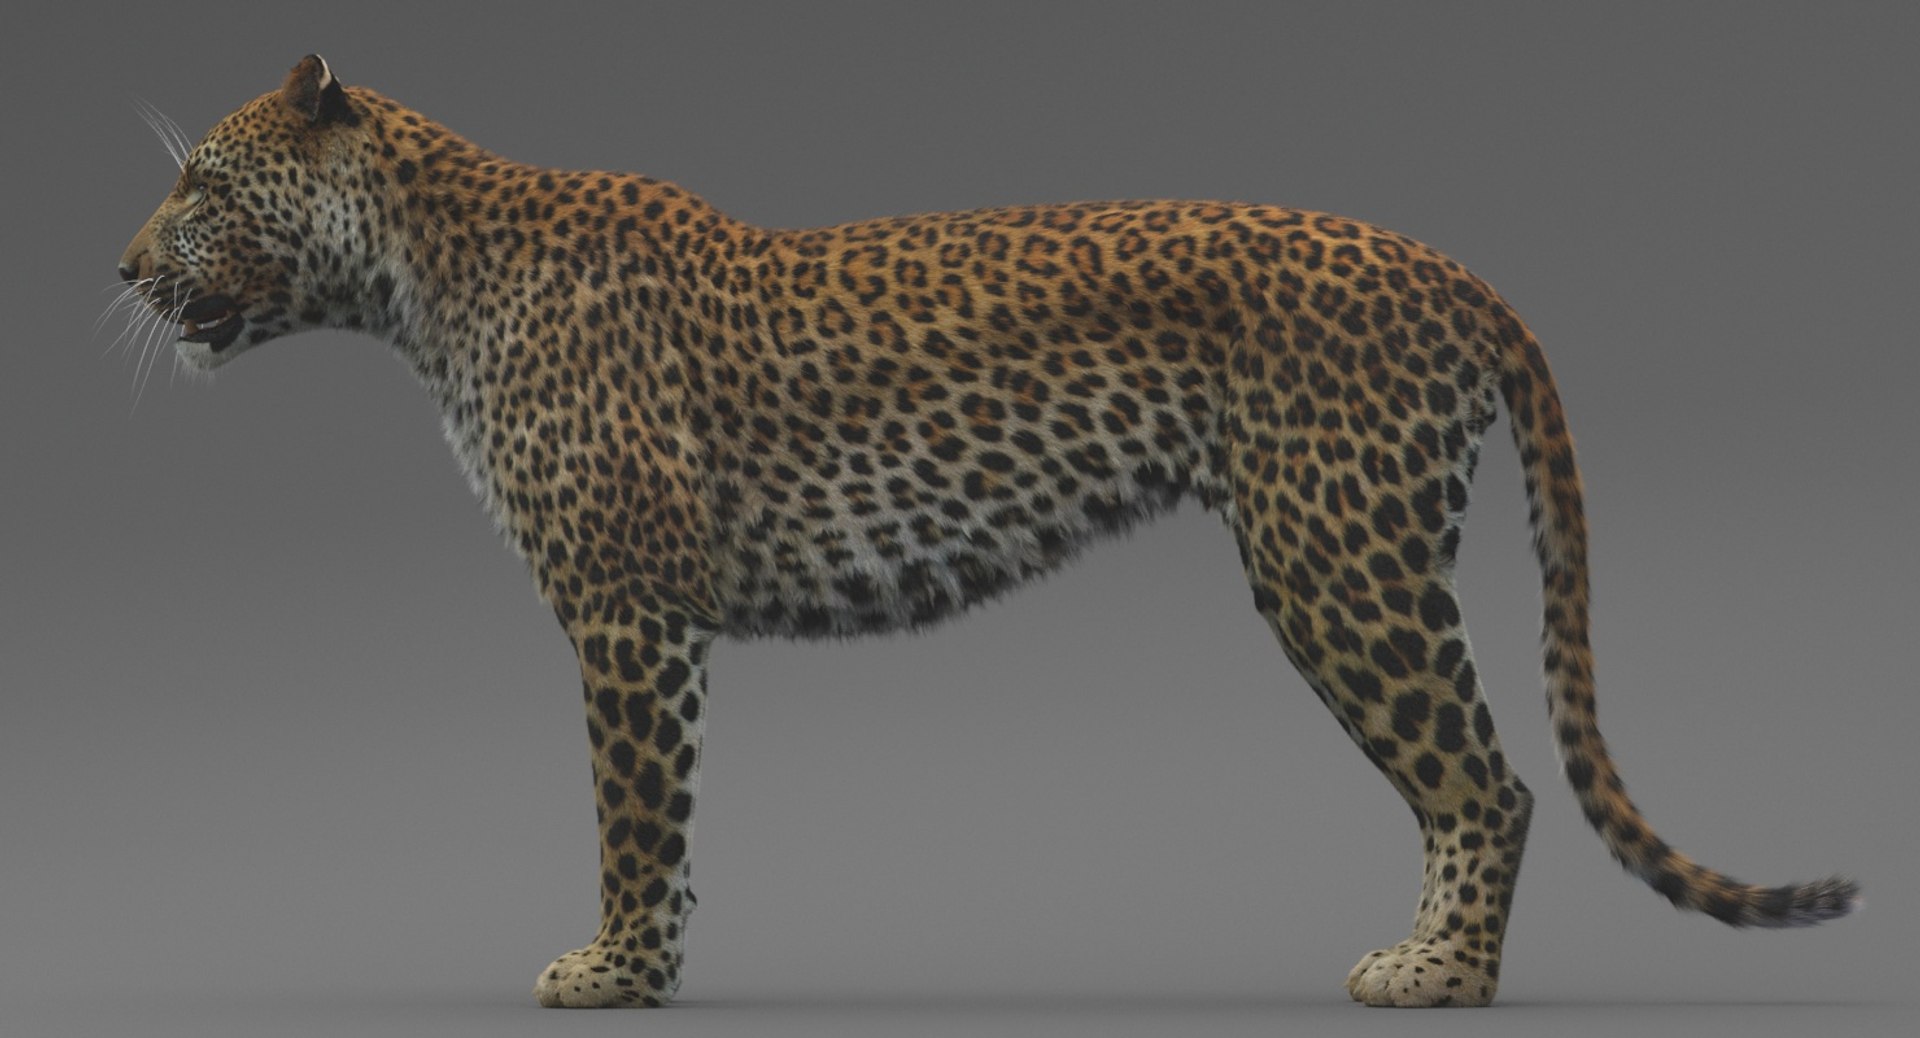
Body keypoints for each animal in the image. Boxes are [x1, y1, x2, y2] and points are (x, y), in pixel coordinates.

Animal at [116, 56, 1858, 1008]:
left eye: (199, 185)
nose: (122, 269)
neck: (415, 278)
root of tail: (1452, 265)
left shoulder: (624, 605)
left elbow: (634, 810)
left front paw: (609, 973)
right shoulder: (651, 618)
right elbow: (668, 817)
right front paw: (648, 968)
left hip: (1335, 555)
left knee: (1486, 781)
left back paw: (1434, 978)